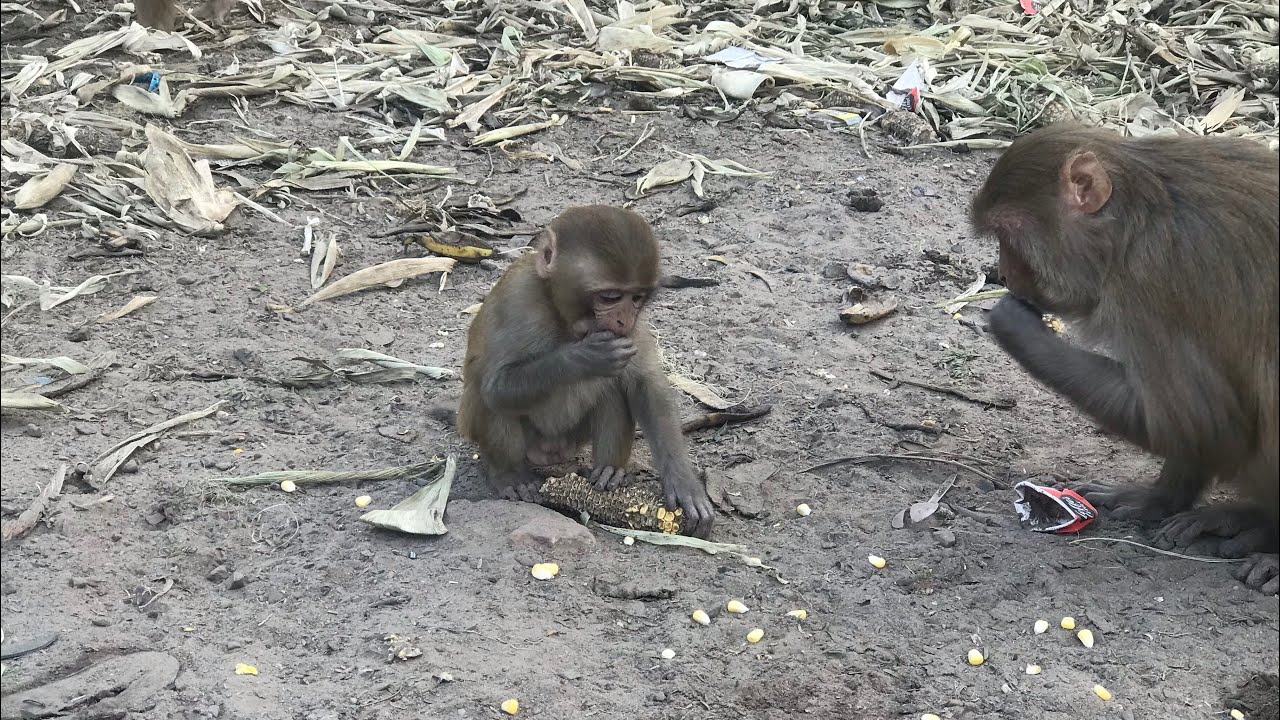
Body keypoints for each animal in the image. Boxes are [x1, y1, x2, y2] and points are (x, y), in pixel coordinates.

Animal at [457, 205, 716, 538]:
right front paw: (585, 357)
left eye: (637, 298)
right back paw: (509, 474)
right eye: (609, 297)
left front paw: (684, 484)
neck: (563, 315)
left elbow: (645, 386)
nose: (623, 320)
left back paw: (609, 471)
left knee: (614, 389)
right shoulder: (517, 298)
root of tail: (551, 454)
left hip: (574, 438)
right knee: (484, 395)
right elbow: (496, 388)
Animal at [970, 123, 1279, 594]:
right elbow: (1195, 427)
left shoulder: (1151, 284)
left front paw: (1015, 326)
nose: (1002, 273)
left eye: (1010, 237)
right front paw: (1156, 499)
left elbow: (1206, 423)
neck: (1138, 221)